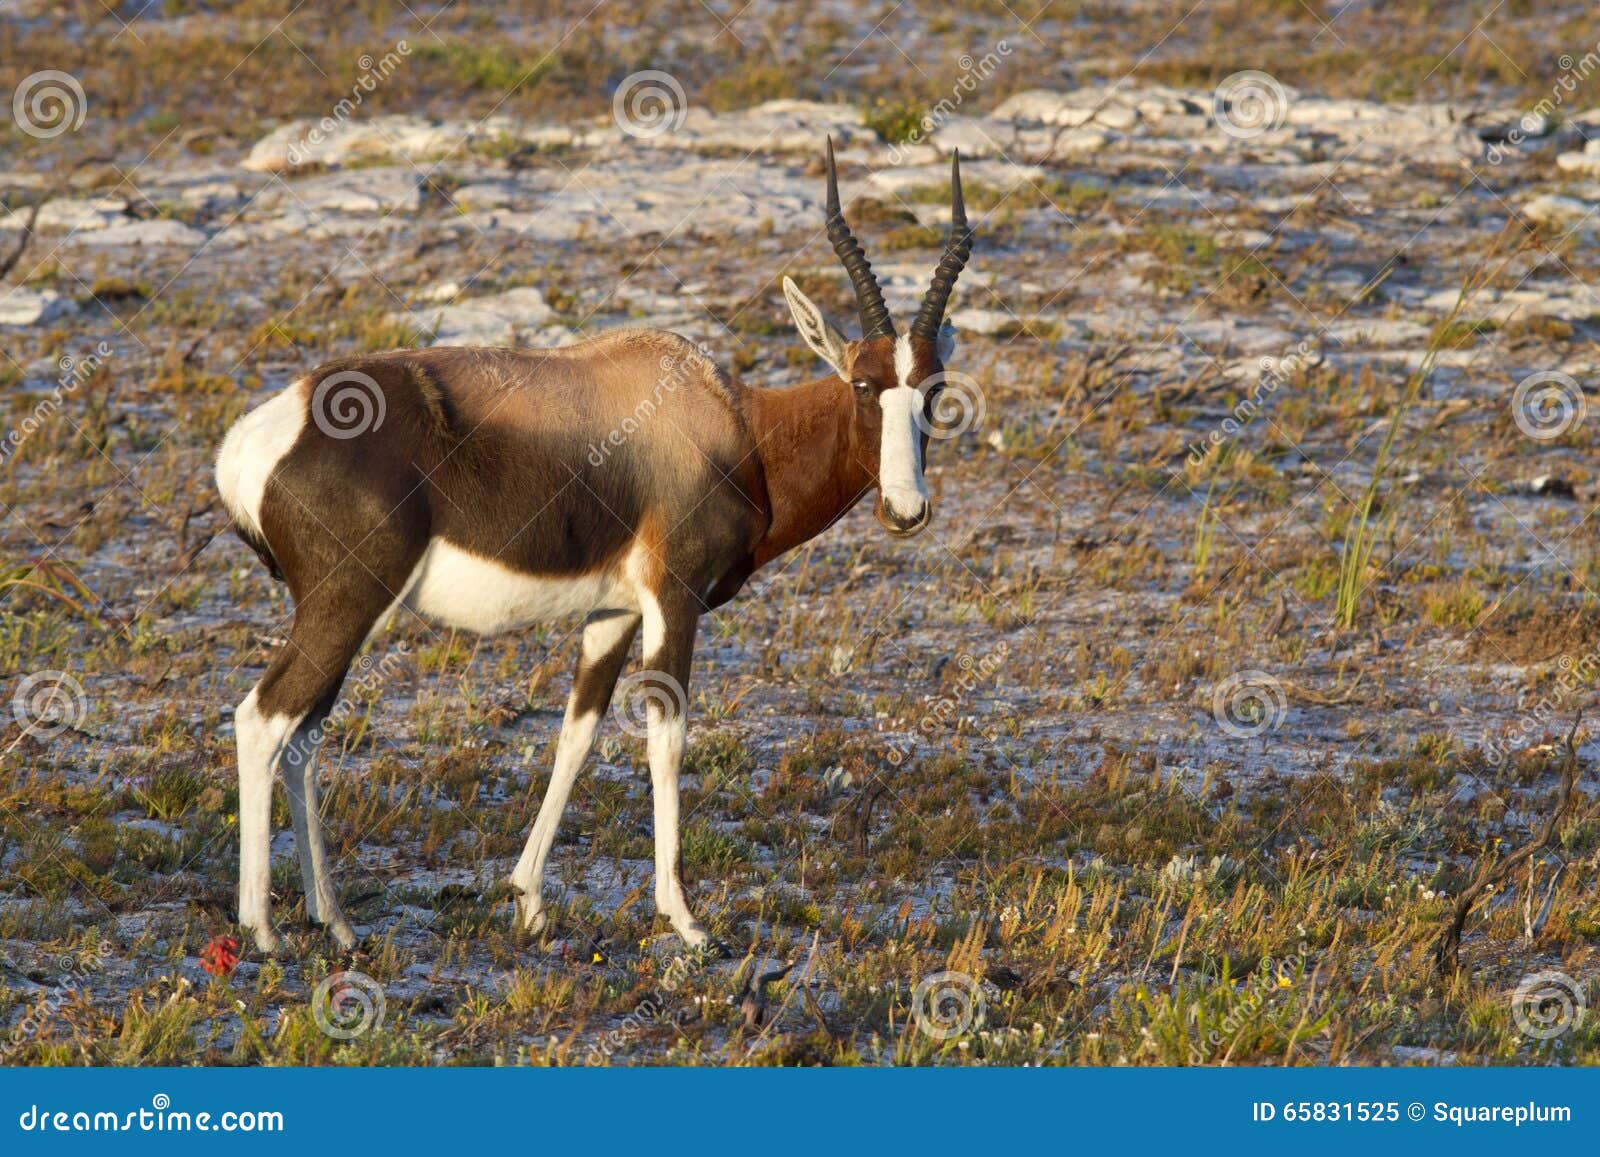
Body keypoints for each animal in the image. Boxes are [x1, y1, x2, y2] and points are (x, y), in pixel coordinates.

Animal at [214, 139, 972, 953]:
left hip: (349, 614)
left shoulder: (613, 612)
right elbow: (667, 735)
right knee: (263, 719)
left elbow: (577, 733)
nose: (905, 509)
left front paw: (528, 899)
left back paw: (336, 919)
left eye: (932, 390)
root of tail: (258, 438)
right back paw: (263, 929)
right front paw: (686, 920)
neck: (726, 422)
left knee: (303, 736)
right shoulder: (674, 599)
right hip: (347, 604)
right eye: (863, 385)